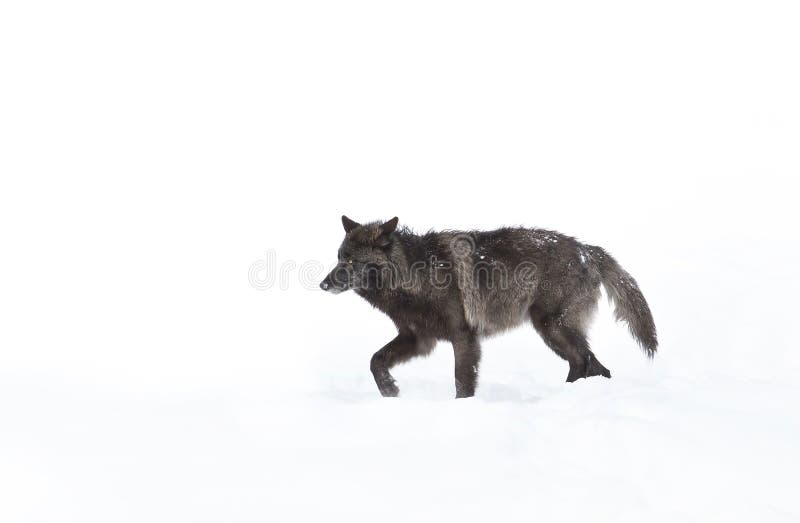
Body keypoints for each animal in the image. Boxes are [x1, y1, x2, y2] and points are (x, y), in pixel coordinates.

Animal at [320, 216, 657, 398]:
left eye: (351, 261)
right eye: (338, 257)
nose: (323, 284)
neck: (415, 277)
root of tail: (588, 249)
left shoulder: (464, 337)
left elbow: (462, 382)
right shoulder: (418, 339)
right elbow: (376, 360)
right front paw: (390, 391)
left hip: (552, 328)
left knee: (590, 363)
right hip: (552, 332)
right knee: (588, 365)